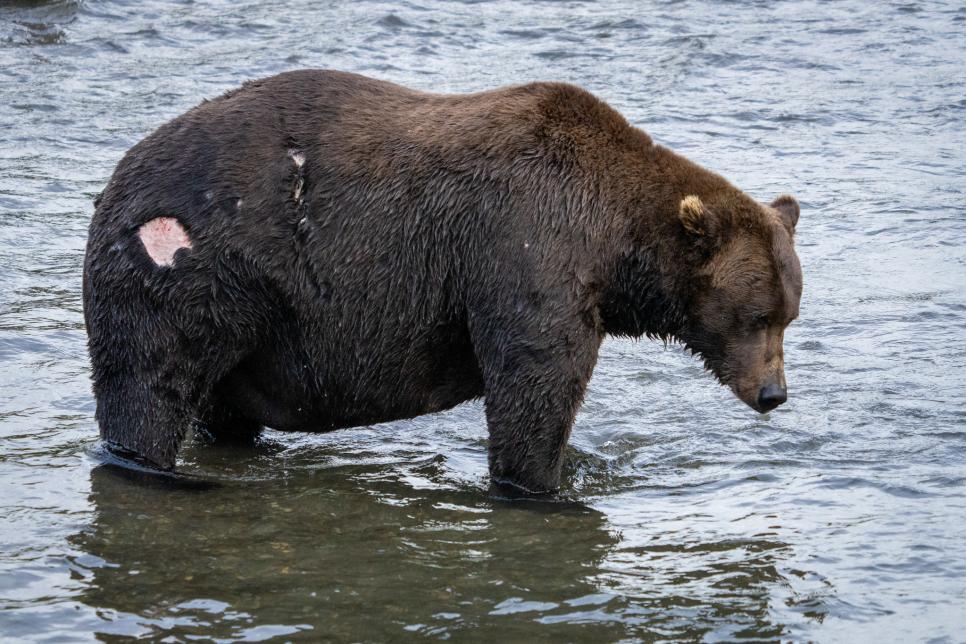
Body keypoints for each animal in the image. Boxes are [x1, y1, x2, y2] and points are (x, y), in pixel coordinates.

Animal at [83, 69, 802, 494]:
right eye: (756, 314)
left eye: (788, 314)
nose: (773, 394)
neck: (613, 241)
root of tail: (117, 175)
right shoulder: (526, 246)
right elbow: (535, 381)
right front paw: (540, 485)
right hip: (186, 268)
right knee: (148, 389)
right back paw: (155, 468)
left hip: (237, 309)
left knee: (219, 403)